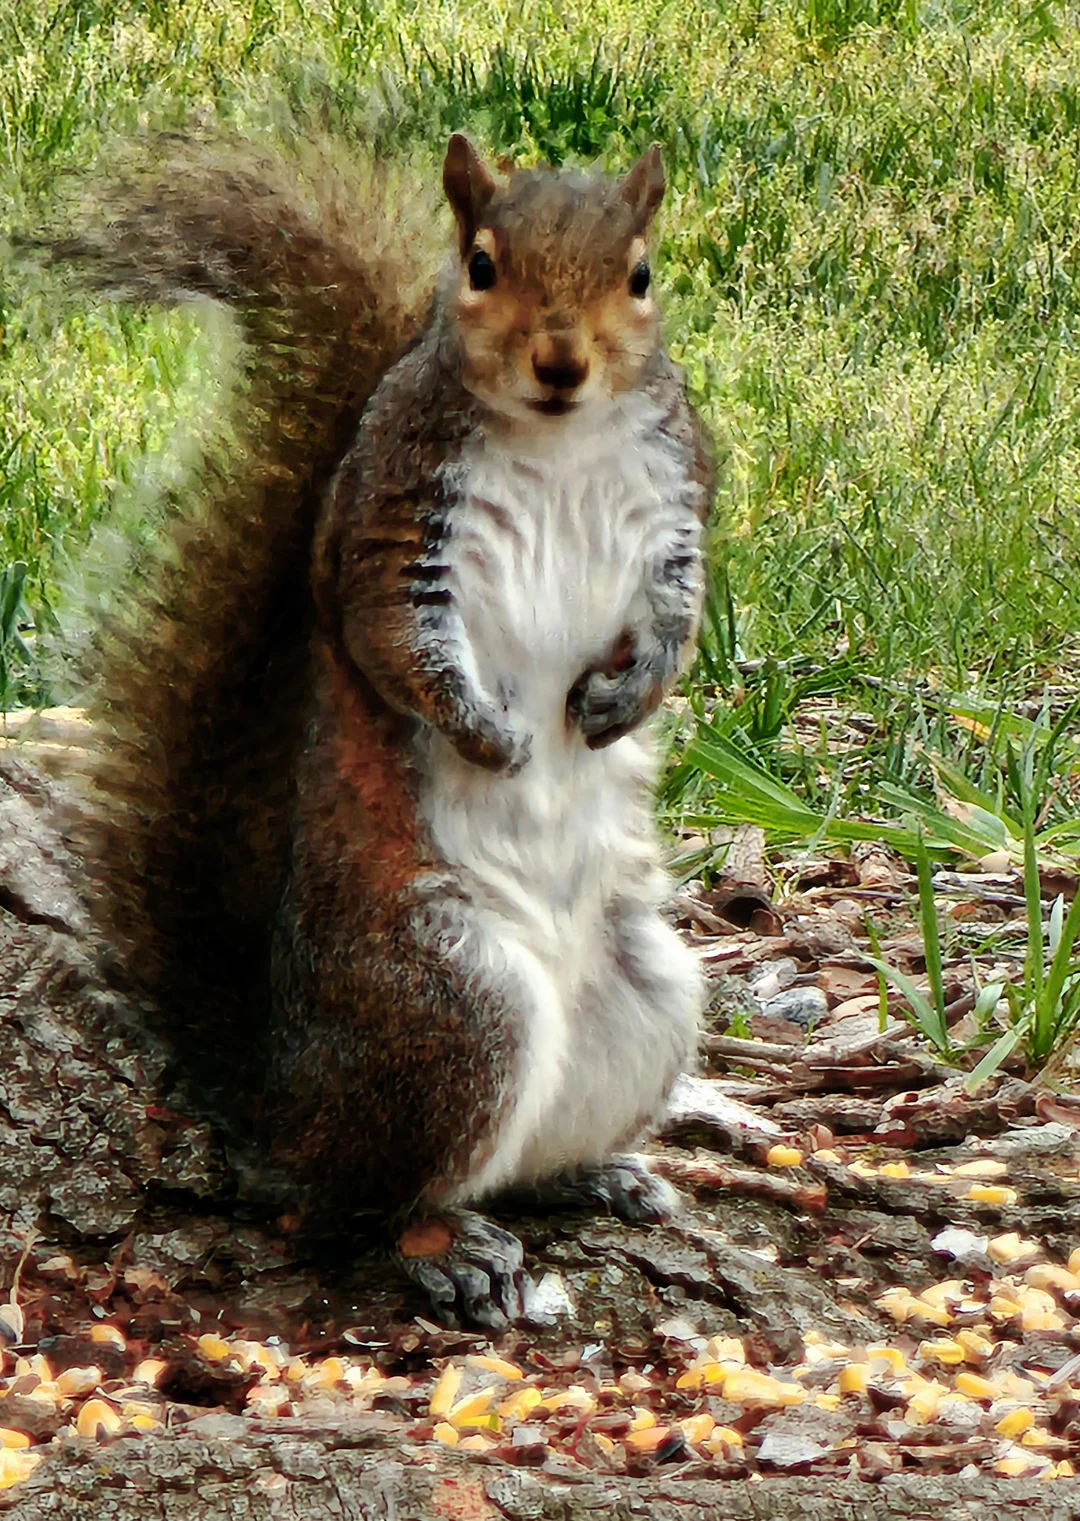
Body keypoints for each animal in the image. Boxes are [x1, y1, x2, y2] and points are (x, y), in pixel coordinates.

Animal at [48, 128, 712, 1327]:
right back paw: (441, 1247)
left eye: (640, 277)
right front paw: (492, 739)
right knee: (365, 1205)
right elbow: (394, 642)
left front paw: (625, 697)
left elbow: (680, 615)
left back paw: (591, 1172)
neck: (560, 442)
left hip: (646, 1002)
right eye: (482, 265)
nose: (561, 362)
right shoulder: (390, 520)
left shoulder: (676, 501)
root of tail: (284, 1107)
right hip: (448, 1008)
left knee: (502, 1167)